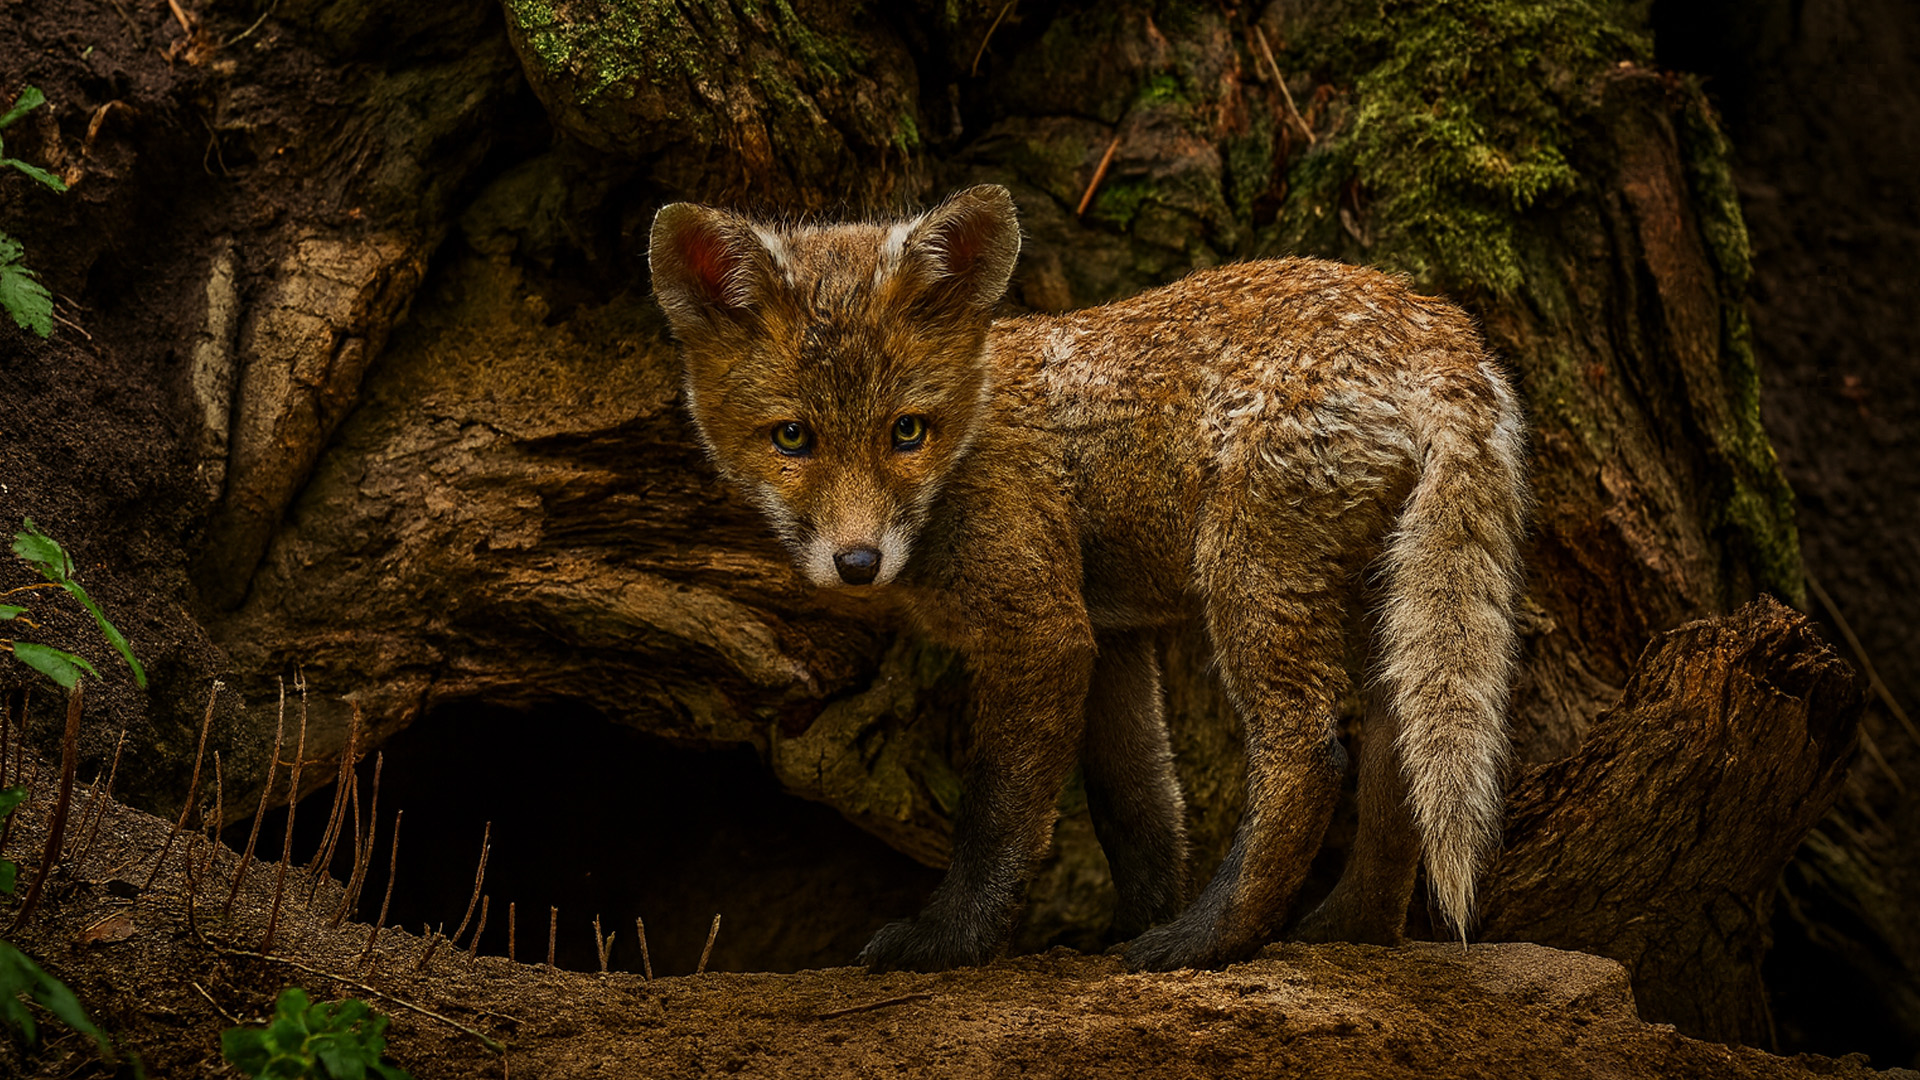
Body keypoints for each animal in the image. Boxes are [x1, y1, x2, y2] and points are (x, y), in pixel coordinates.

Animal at [648, 185, 1527, 972]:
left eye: (907, 432)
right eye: (792, 438)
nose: (858, 563)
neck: (971, 437)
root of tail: (1433, 324)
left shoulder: (1043, 630)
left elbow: (998, 814)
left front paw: (953, 942)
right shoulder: (1112, 635)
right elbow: (1137, 808)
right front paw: (1131, 922)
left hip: (1250, 576)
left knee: (1311, 753)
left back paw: (1206, 943)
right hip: (1383, 601)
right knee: (1395, 762)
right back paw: (1351, 929)